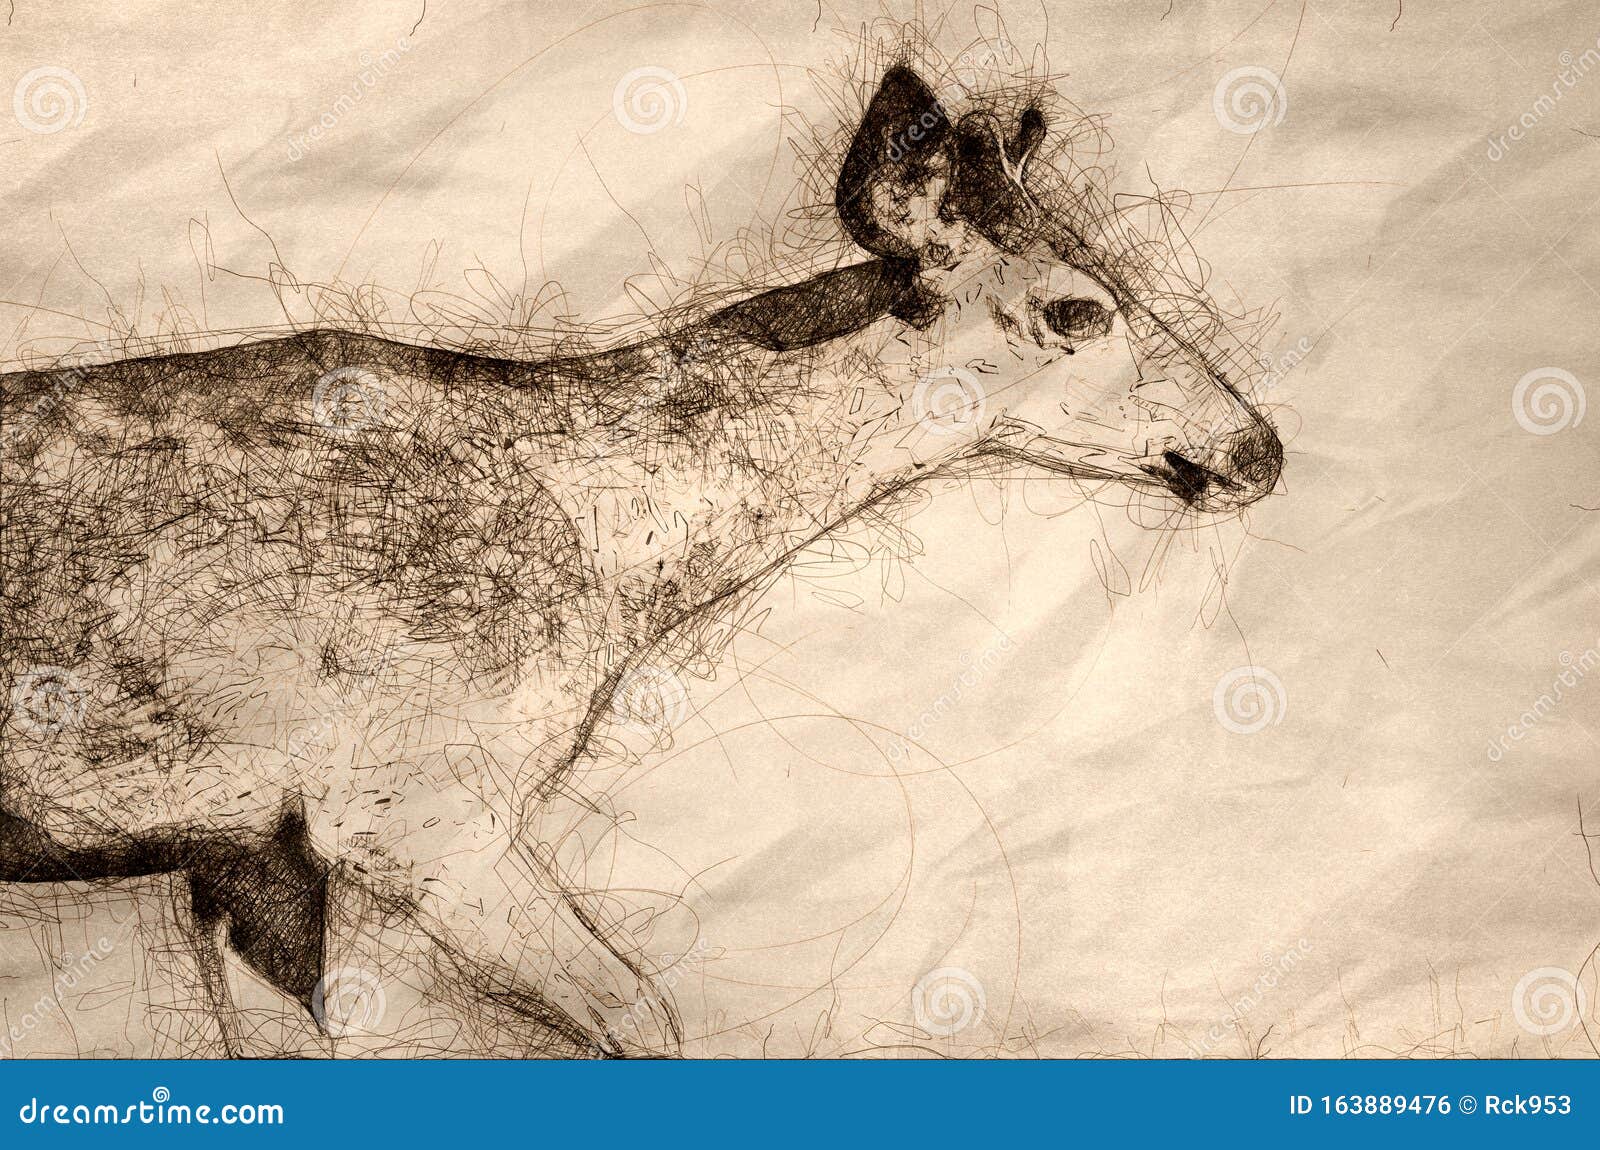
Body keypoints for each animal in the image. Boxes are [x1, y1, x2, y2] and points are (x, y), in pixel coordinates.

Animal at [0, 62, 1283, 1058]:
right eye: (1078, 309)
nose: (1257, 449)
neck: (612, 553)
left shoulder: (251, 845)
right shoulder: (413, 805)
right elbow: (645, 1014)